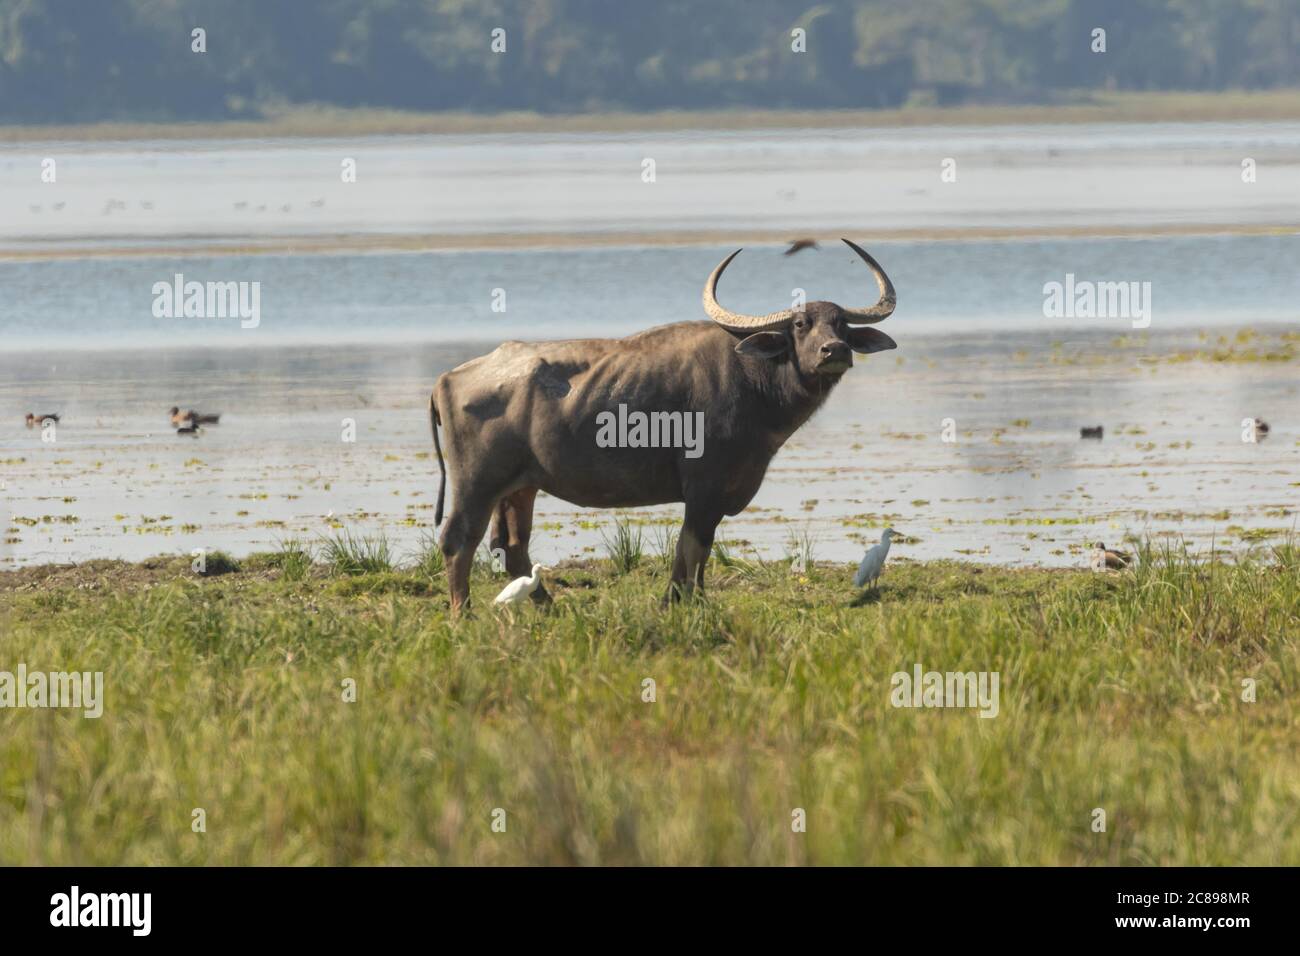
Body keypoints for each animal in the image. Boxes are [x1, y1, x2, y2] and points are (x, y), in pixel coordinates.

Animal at [430, 239, 898, 613]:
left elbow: (699, 550)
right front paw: (678, 600)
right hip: (477, 483)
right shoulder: (704, 488)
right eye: (801, 324)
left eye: (841, 324)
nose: (833, 350)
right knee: (459, 540)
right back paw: (463, 613)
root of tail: (450, 377)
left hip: (520, 486)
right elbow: (692, 545)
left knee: (511, 547)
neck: (753, 381)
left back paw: (549, 607)